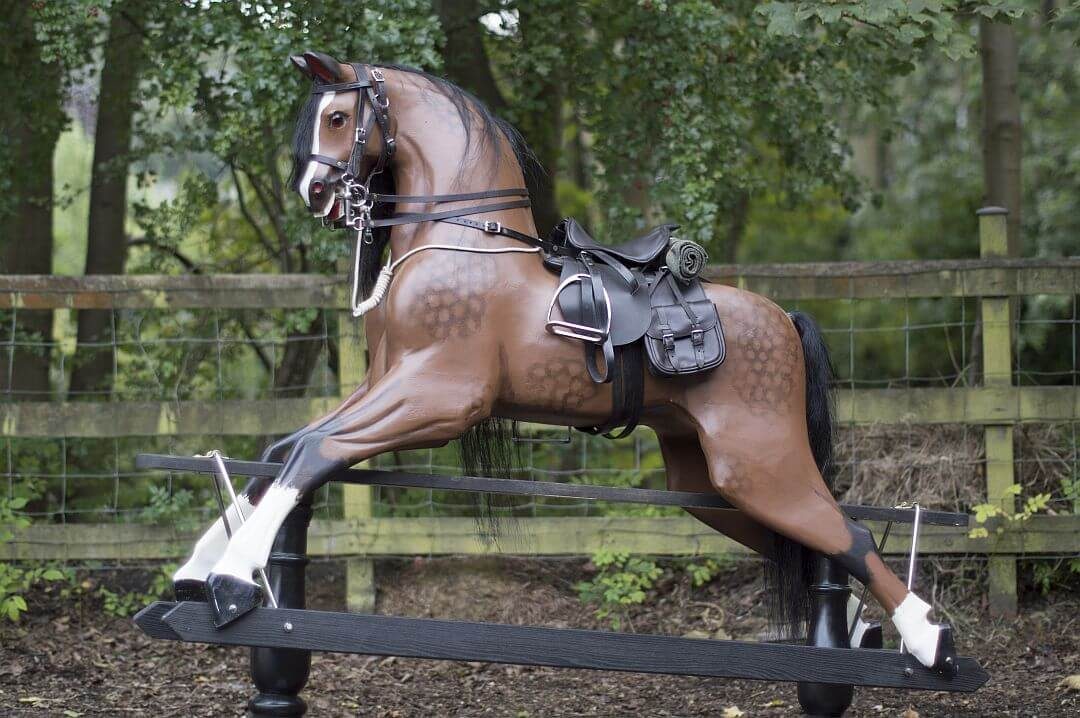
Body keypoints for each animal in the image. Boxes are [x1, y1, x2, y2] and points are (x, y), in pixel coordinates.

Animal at [170, 50, 956, 674]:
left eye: (337, 118)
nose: (315, 193)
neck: (463, 240)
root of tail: (784, 321)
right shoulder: (385, 384)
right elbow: (284, 448)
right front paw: (196, 565)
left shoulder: (439, 396)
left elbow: (312, 454)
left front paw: (233, 576)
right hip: (709, 480)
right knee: (811, 542)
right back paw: (862, 627)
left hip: (759, 462)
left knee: (849, 533)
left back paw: (926, 638)